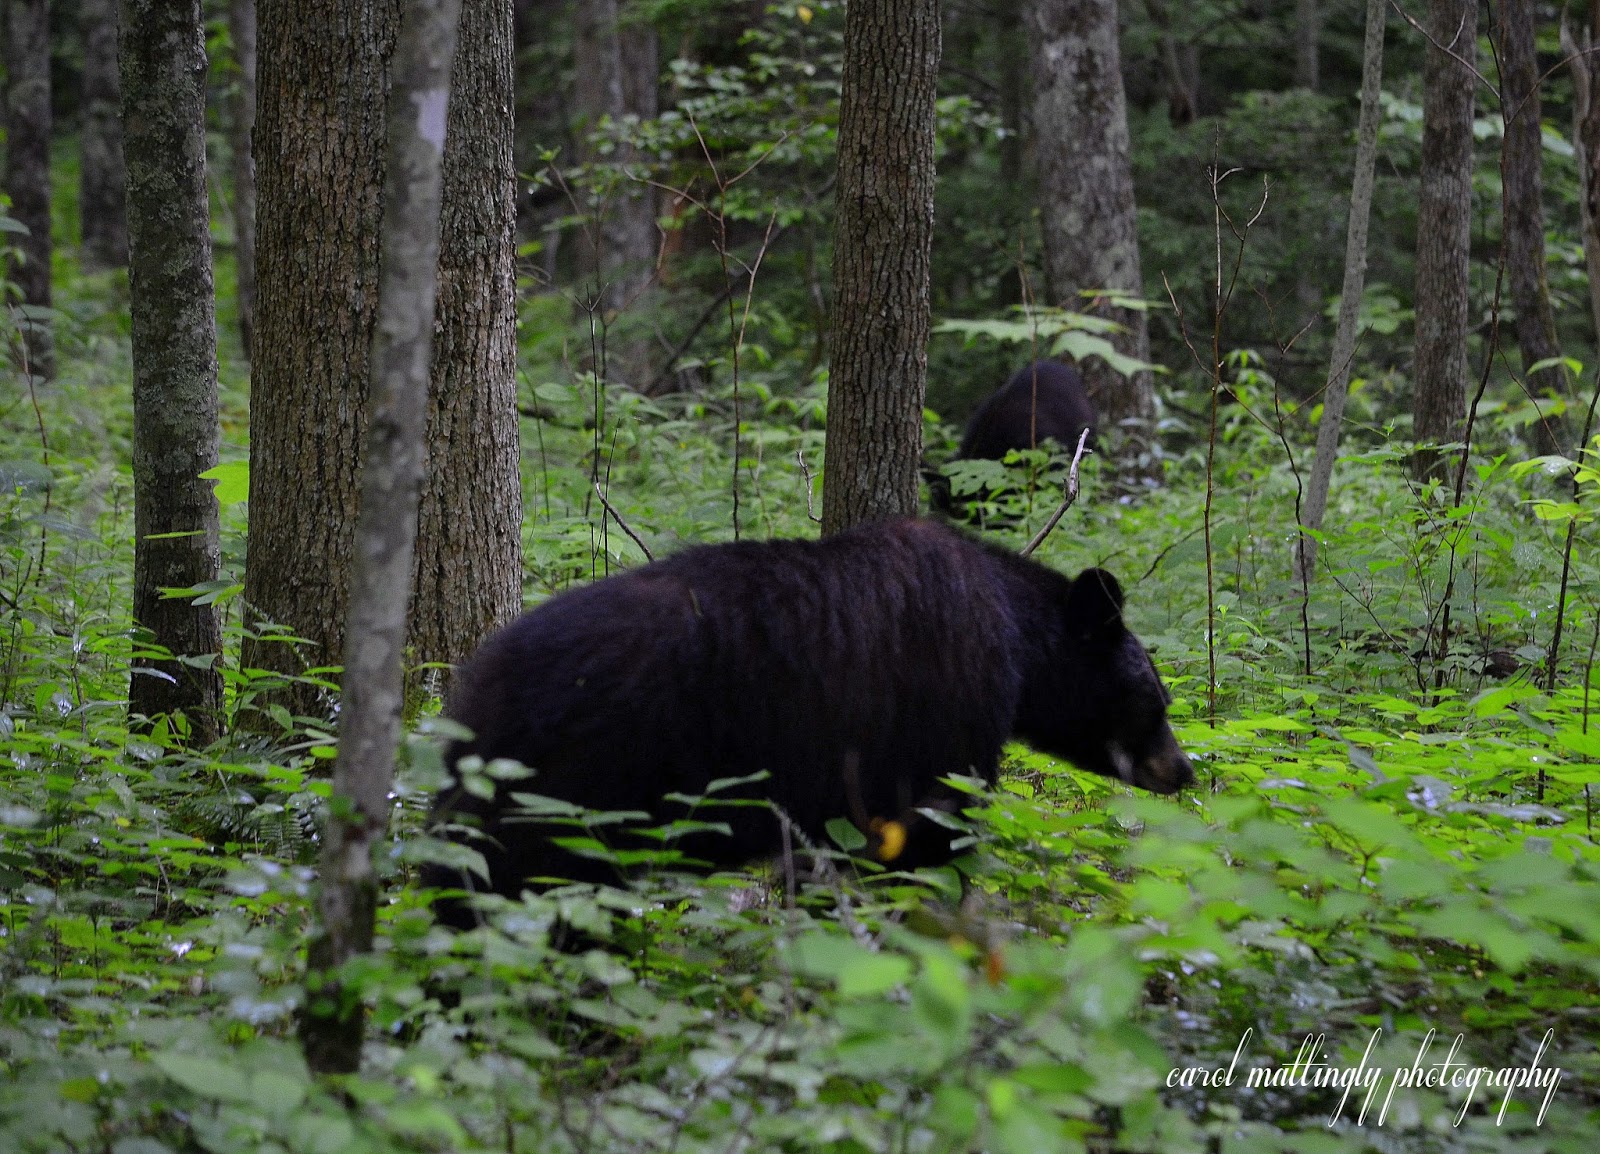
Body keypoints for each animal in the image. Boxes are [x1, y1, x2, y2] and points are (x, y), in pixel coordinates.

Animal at [423, 517, 1191, 927]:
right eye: (1155, 698)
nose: (1183, 770)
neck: (1015, 636)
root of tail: (481, 686)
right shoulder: (941, 715)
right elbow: (928, 841)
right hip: (582, 787)